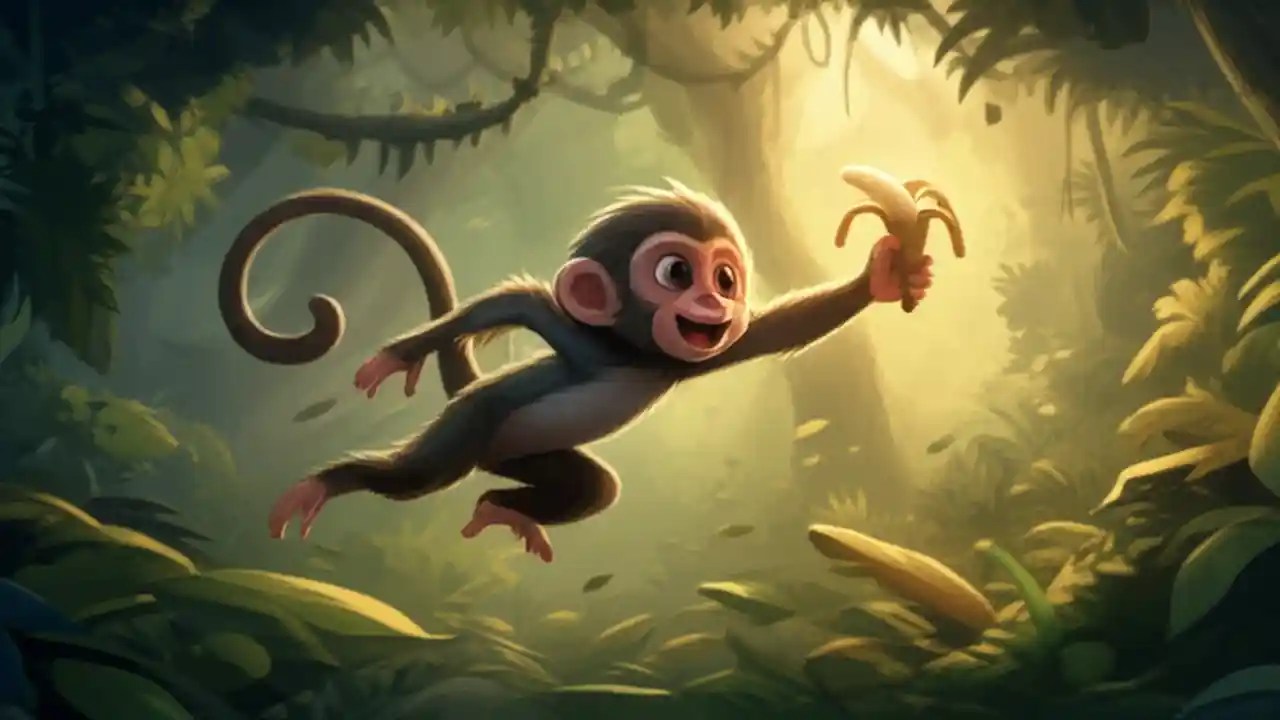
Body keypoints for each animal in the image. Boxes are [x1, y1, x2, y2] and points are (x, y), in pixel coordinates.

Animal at [218, 181, 935, 563]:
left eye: (727, 277)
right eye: (677, 272)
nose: (718, 303)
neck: (635, 355)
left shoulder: (701, 351)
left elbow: (777, 331)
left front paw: (885, 274)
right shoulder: (587, 344)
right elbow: (514, 305)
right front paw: (397, 356)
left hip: (524, 455)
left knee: (593, 489)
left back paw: (503, 511)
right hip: (473, 423)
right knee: (420, 476)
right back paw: (327, 484)